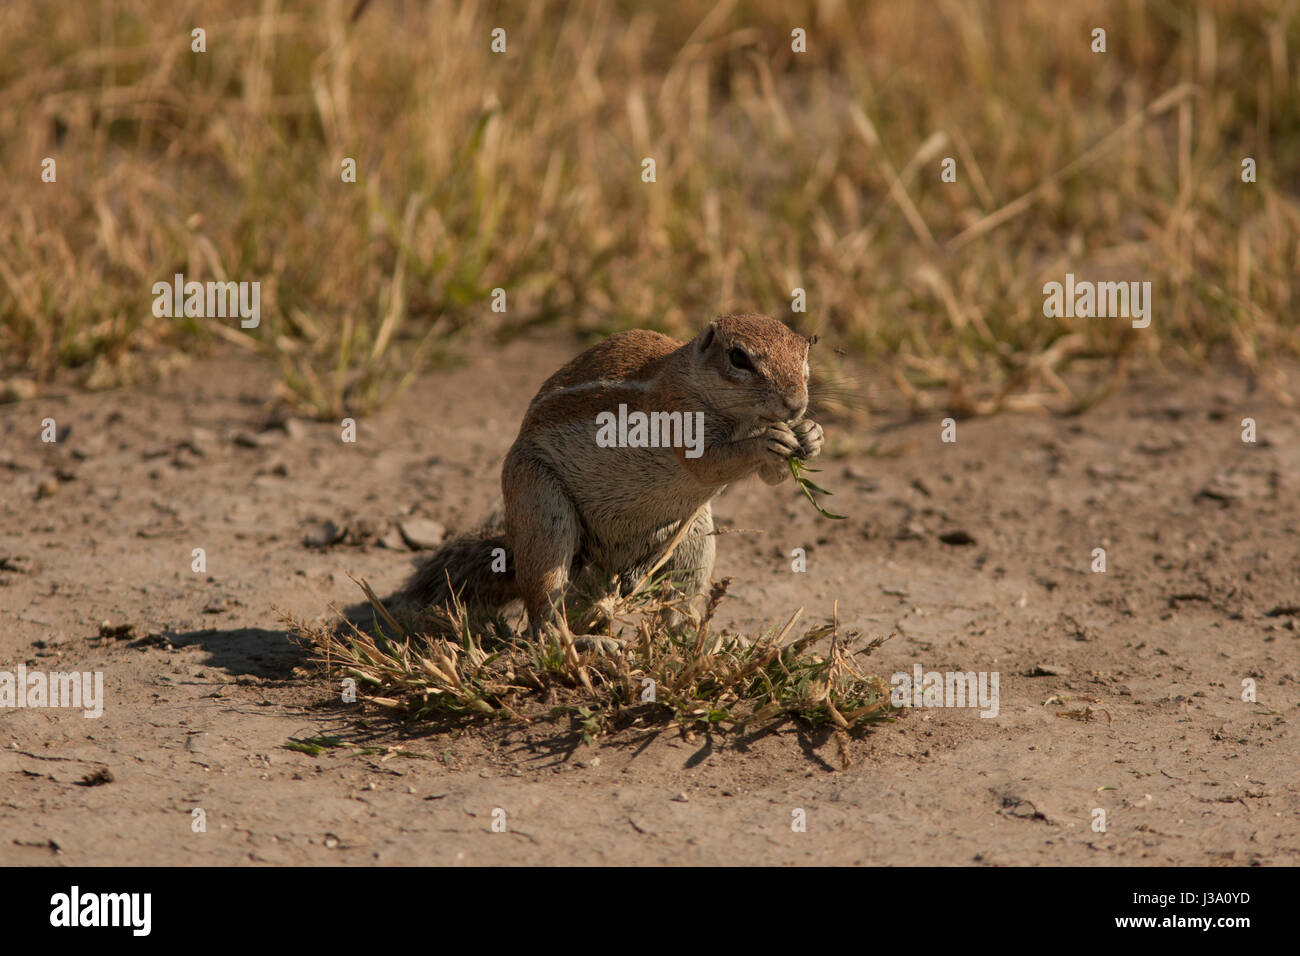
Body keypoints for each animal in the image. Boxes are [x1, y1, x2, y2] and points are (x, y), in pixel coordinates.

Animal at [403, 313, 824, 636]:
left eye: (806, 352)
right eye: (739, 358)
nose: (796, 403)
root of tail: (607, 564)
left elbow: (770, 473)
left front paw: (810, 434)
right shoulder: (679, 416)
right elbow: (707, 463)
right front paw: (766, 440)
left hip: (694, 537)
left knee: (680, 593)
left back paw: (685, 641)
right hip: (539, 504)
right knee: (543, 612)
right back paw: (582, 642)